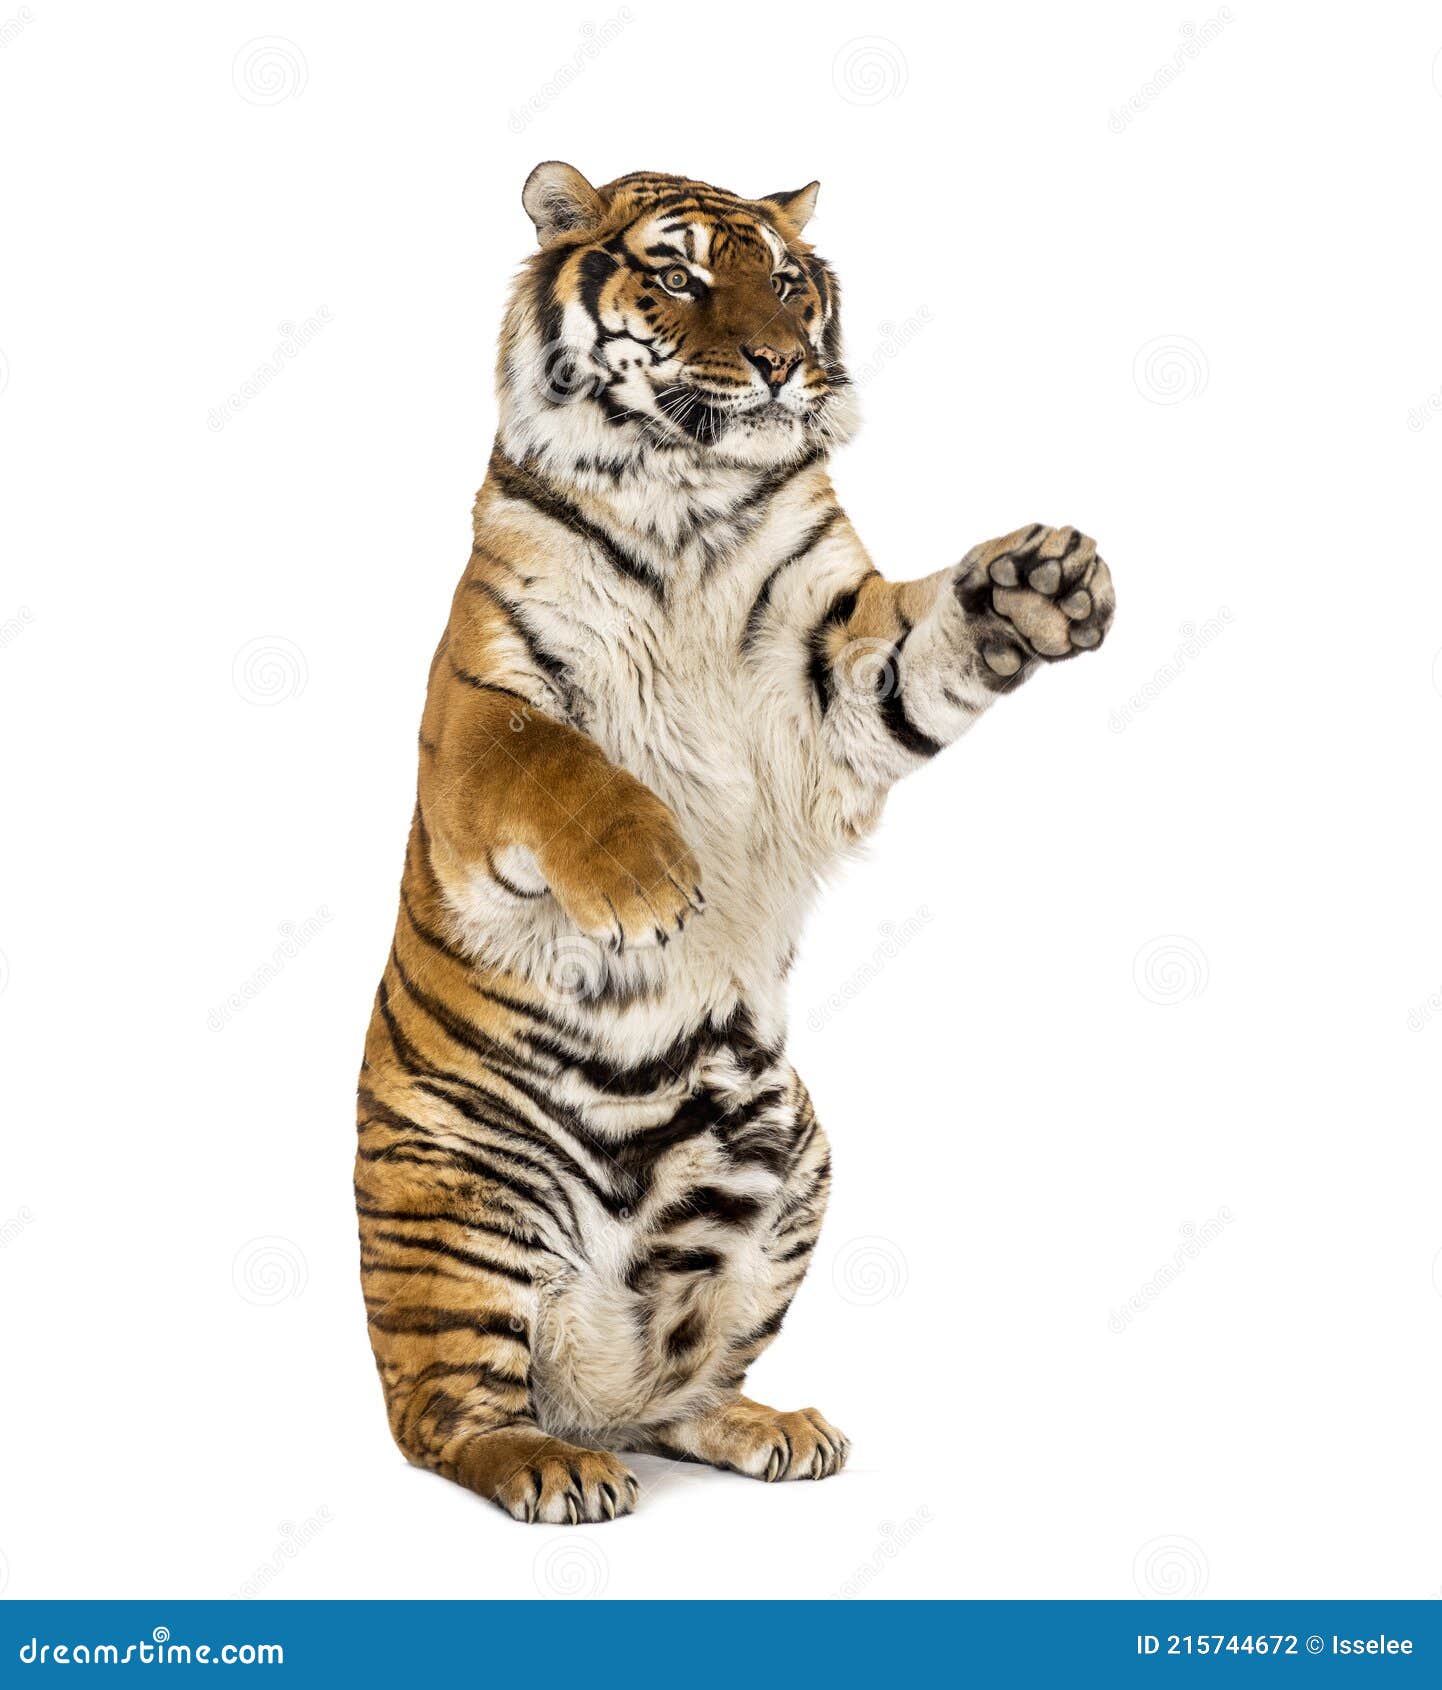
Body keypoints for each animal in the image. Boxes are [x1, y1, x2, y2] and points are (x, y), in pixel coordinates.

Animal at [355, 161, 1117, 1524]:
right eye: (676, 275)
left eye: (789, 281)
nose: (776, 364)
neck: (686, 501)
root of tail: (585, 1395)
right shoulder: (478, 705)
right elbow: (557, 764)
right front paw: (650, 879)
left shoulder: (836, 673)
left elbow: (926, 641)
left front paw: (1037, 583)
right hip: (461, 1204)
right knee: (444, 1416)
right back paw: (548, 1467)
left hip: (789, 1162)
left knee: (674, 1389)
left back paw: (766, 1427)